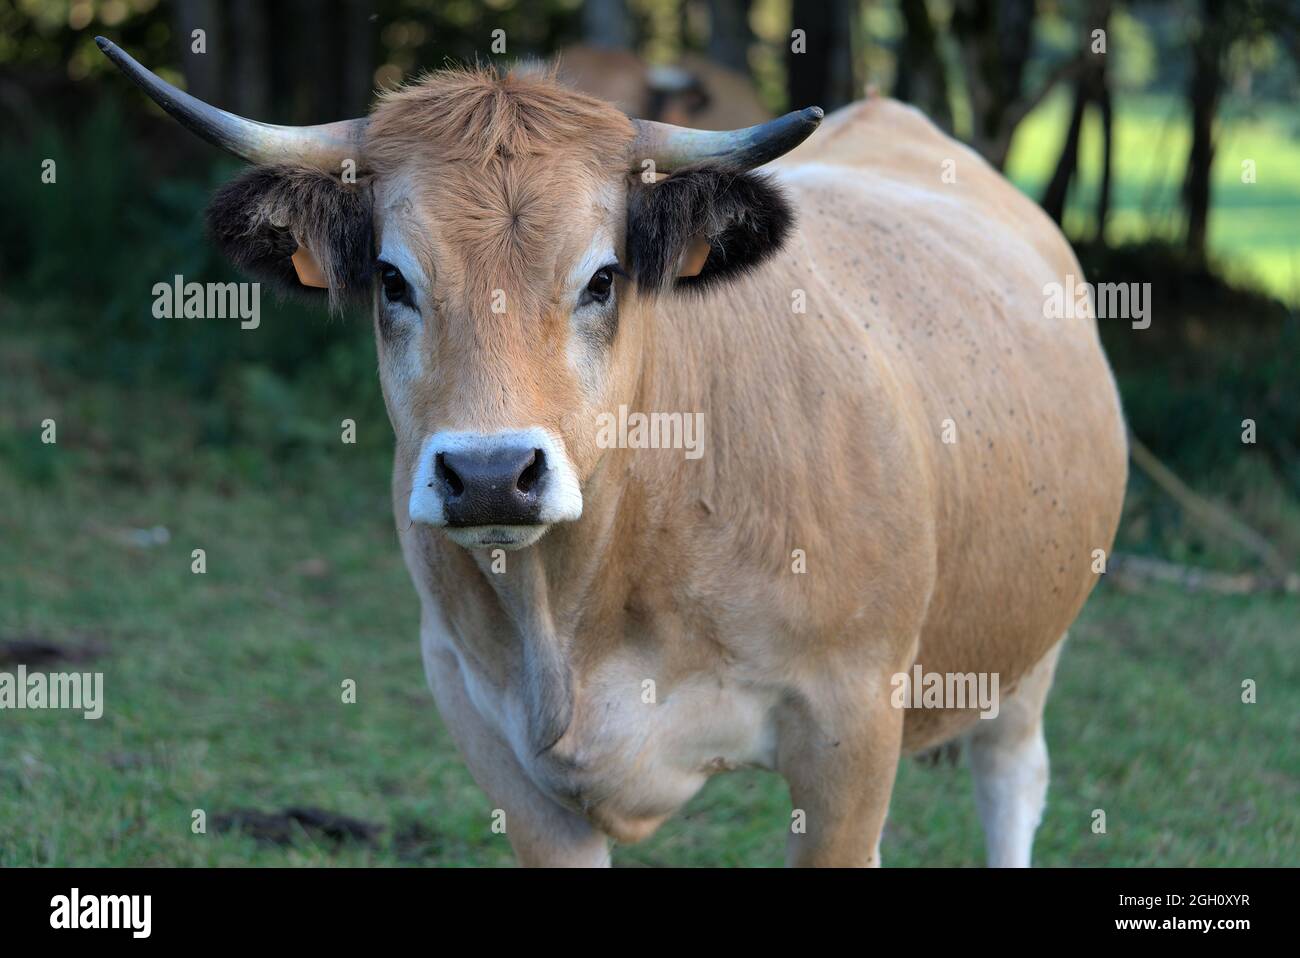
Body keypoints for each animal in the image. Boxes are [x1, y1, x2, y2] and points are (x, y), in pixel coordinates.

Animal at [99, 37, 1127, 867]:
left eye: (602, 278)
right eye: (392, 278)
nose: (489, 476)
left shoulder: (852, 735)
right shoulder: (494, 739)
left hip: (1030, 644)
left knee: (1011, 779)